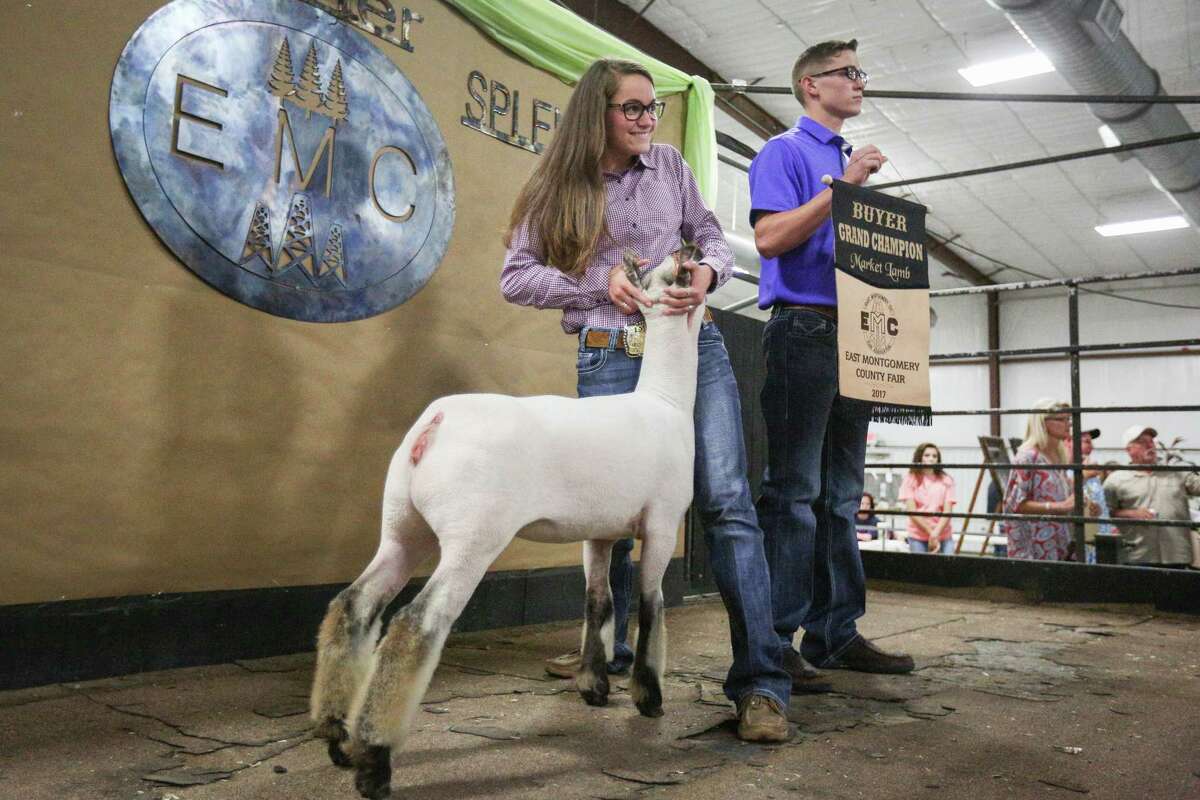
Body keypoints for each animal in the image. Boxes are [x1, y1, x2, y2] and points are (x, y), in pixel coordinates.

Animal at [309, 246, 704, 799]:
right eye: (664, 273)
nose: (691, 247)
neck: (665, 399)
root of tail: (435, 424)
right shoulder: (664, 522)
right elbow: (652, 607)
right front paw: (649, 697)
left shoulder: (598, 532)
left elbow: (598, 604)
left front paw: (593, 686)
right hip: (474, 535)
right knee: (415, 624)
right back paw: (374, 761)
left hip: (403, 527)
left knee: (354, 604)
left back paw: (335, 735)